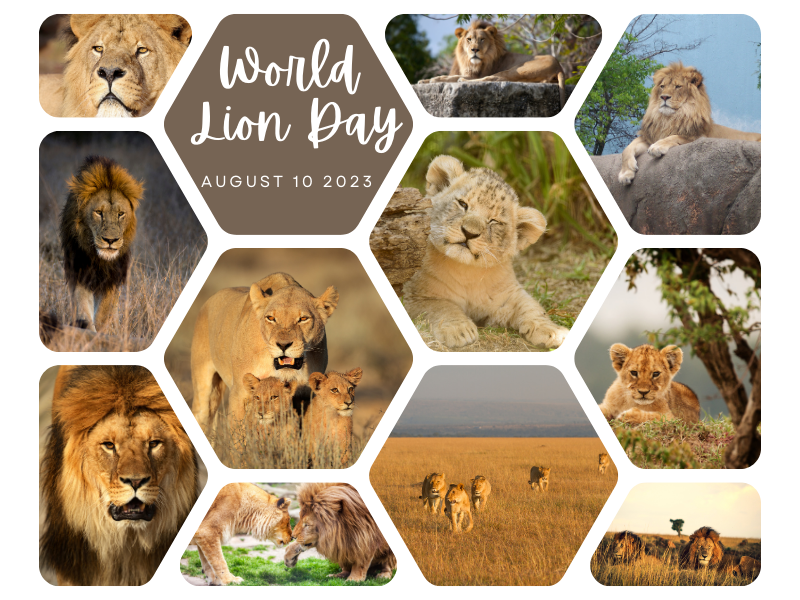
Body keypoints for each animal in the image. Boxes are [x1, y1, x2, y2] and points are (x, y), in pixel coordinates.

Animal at [58, 156, 144, 332]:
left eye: (120, 214)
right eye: (99, 212)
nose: (110, 241)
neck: (100, 259)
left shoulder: (112, 279)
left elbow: (104, 313)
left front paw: (102, 334)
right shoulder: (80, 272)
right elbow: (83, 308)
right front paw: (87, 333)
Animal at [190, 272, 338, 436]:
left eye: (303, 319)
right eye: (271, 318)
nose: (283, 345)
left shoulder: (305, 396)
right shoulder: (239, 394)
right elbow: (239, 436)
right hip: (204, 389)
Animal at [402, 155, 569, 349]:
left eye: (494, 221)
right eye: (463, 204)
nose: (469, 233)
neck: (466, 272)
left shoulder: (508, 296)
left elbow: (532, 307)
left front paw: (554, 332)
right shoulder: (413, 296)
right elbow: (441, 306)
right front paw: (458, 330)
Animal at [417, 21, 565, 108]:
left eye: (482, 39)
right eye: (469, 39)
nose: (475, 50)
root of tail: (559, 67)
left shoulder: (477, 74)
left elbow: (454, 77)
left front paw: (434, 79)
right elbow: (448, 77)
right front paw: (425, 80)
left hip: (517, 69)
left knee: (494, 78)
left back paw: (463, 81)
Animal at [618, 62, 762, 185]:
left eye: (677, 86)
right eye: (662, 86)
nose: (664, 97)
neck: (670, 118)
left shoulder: (698, 137)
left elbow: (674, 136)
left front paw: (657, 147)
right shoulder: (650, 137)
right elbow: (627, 148)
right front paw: (625, 174)